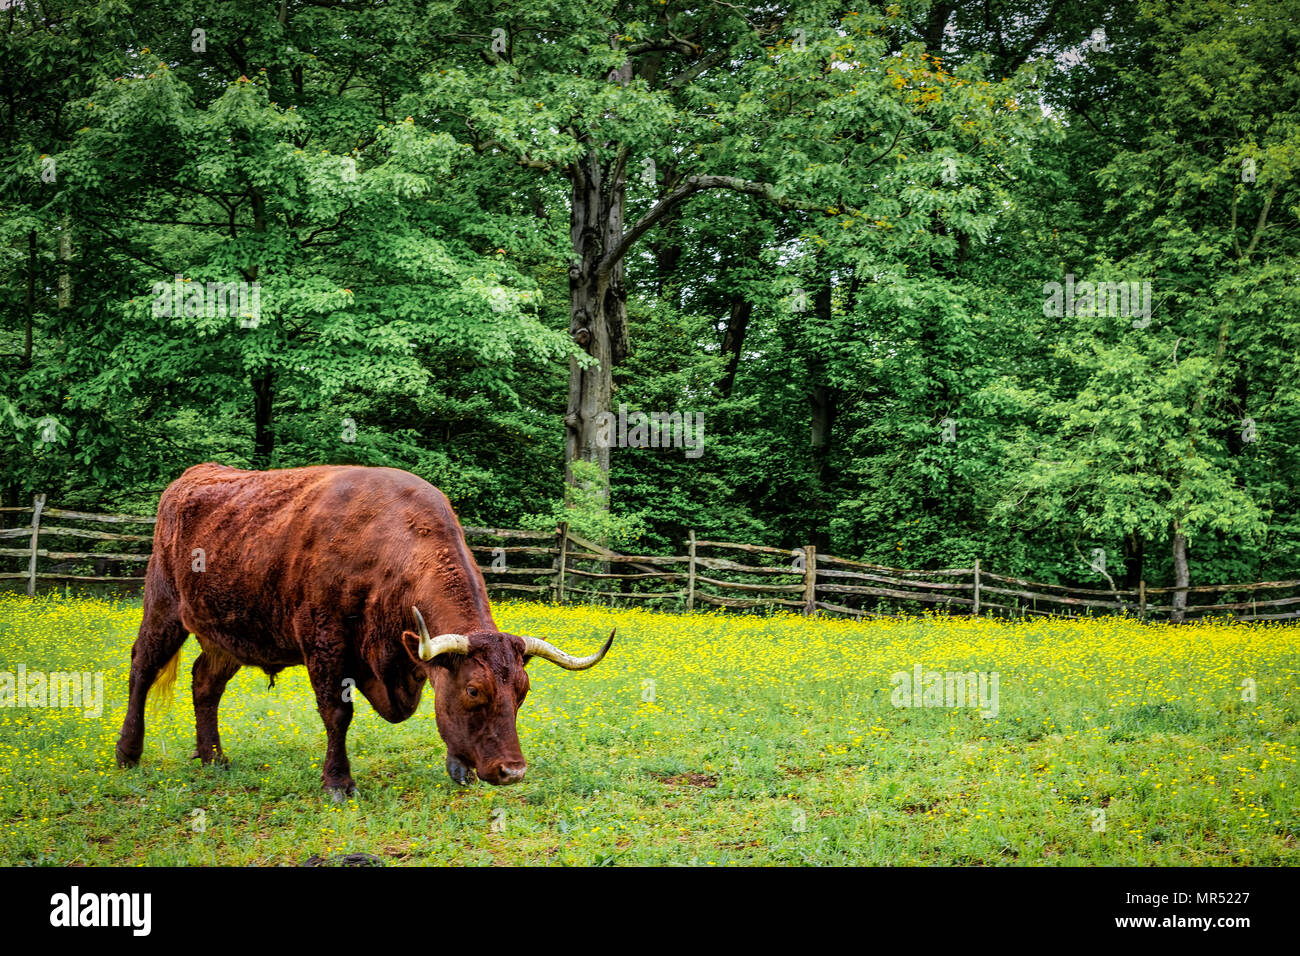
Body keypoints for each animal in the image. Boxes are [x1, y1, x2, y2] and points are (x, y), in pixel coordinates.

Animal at [114, 463, 614, 797]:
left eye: (524, 690)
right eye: (475, 690)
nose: (513, 771)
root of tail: (195, 475)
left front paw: (459, 766)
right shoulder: (324, 643)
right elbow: (337, 714)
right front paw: (338, 782)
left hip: (227, 634)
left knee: (205, 683)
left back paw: (213, 758)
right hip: (163, 605)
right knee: (142, 668)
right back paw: (128, 754)